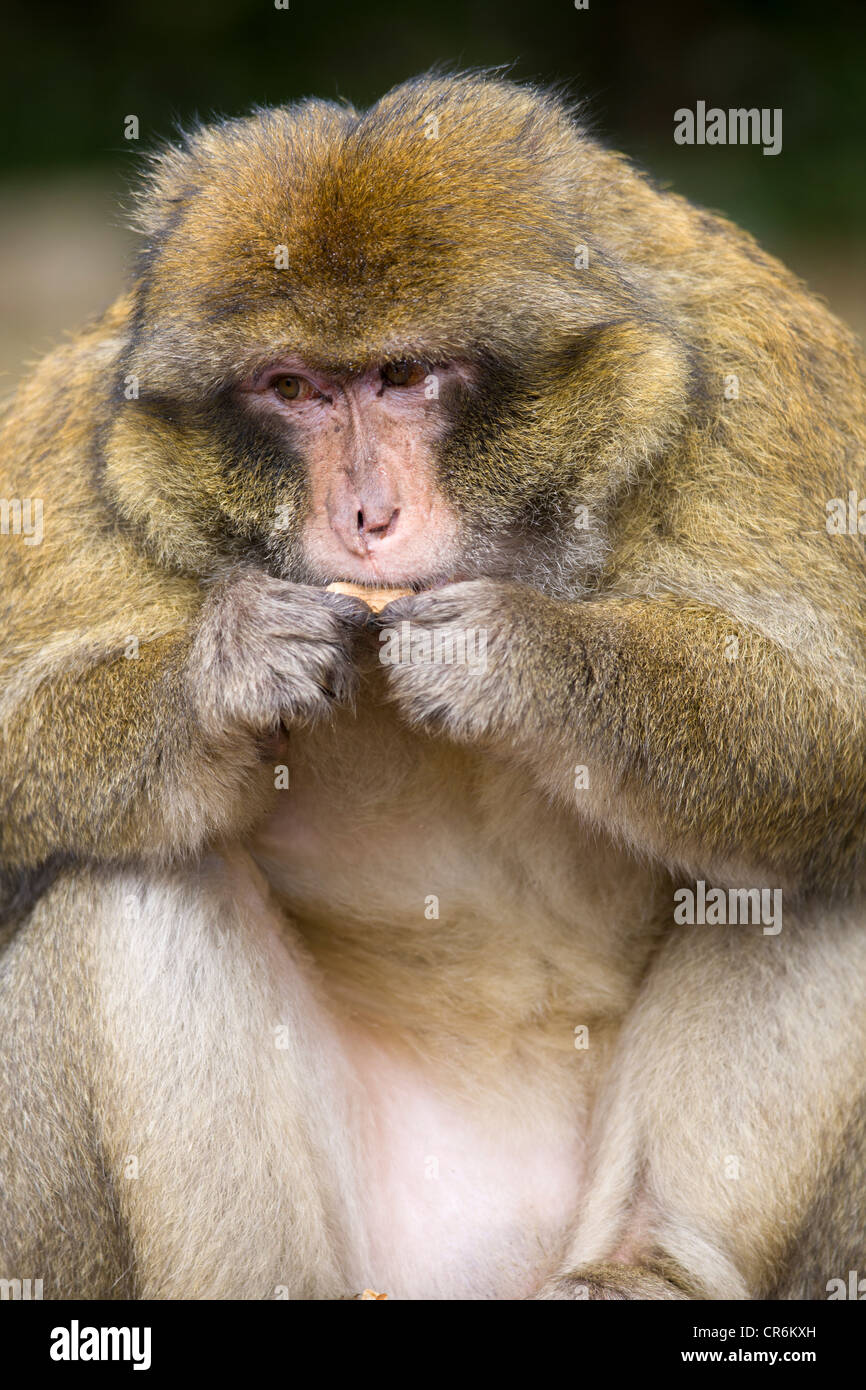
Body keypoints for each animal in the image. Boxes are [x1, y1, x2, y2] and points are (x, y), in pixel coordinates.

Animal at [1, 69, 866, 1301]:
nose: (366, 514)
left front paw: (524, 662)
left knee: (819, 856)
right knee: (132, 873)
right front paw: (221, 681)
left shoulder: (751, 380)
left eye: (405, 377)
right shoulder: (86, 442)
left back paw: (647, 1265)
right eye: (294, 388)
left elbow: (837, 714)